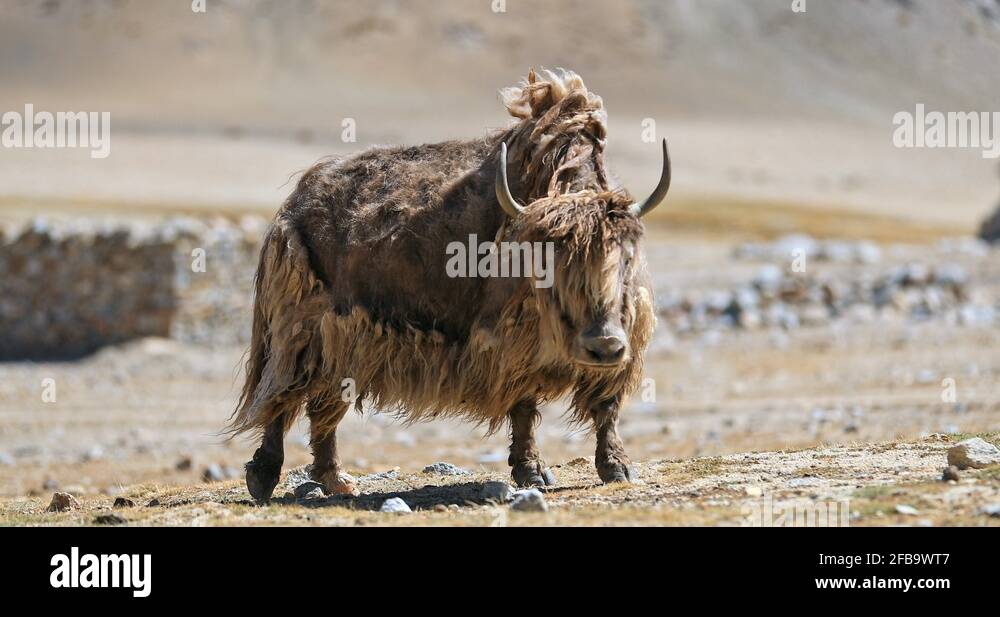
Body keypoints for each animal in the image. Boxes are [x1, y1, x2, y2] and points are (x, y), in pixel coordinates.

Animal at [229, 69, 670, 501]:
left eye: (625, 257)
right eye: (551, 262)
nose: (604, 346)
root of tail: (296, 200)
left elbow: (606, 407)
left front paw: (616, 468)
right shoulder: (513, 343)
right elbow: (524, 406)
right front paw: (532, 472)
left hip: (342, 343)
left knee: (323, 406)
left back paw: (336, 479)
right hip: (303, 328)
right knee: (284, 395)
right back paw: (264, 477)